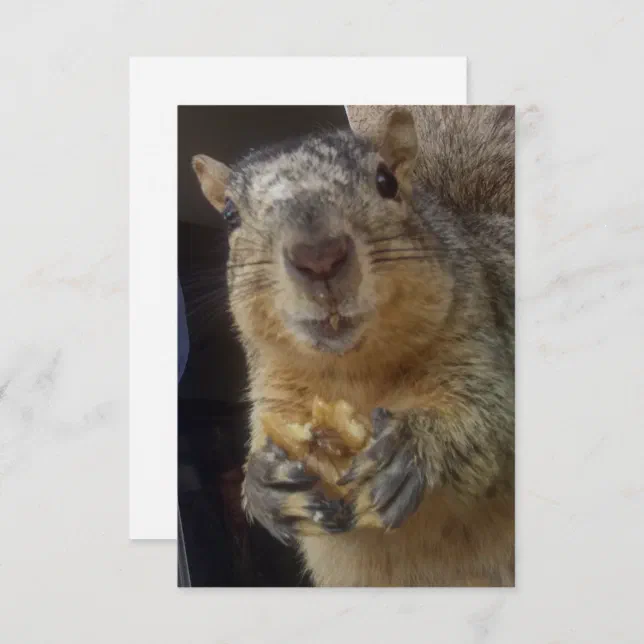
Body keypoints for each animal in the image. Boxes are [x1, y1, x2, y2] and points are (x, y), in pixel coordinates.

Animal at [191, 105, 515, 587]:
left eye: (387, 181)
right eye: (230, 215)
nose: (319, 255)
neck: (352, 371)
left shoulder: (482, 334)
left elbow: (488, 418)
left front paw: (411, 446)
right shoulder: (273, 388)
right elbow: (264, 432)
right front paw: (264, 482)